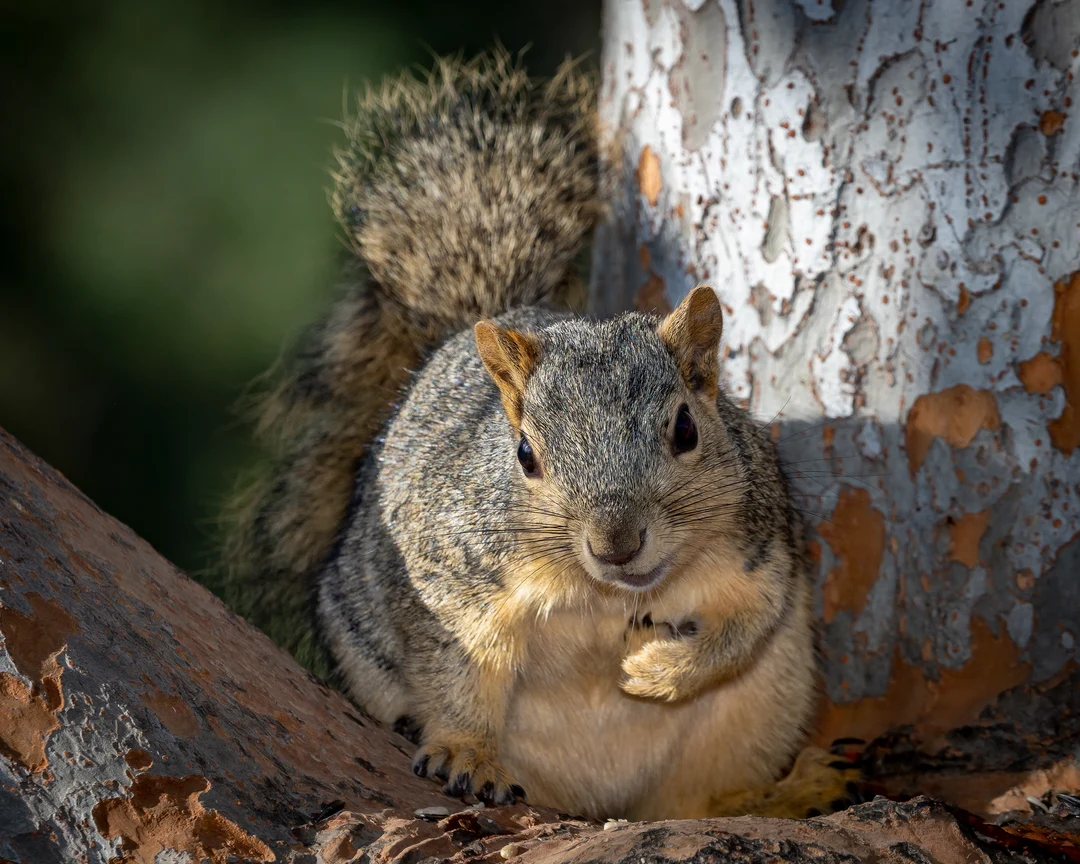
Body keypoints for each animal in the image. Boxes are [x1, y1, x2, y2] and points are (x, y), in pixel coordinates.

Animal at [224, 48, 861, 821]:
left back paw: (785, 792)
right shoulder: (452, 582)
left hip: (762, 707)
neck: (603, 595)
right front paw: (465, 752)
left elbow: (744, 630)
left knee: (703, 797)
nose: (617, 544)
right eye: (525, 453)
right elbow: (455, 673)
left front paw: (657, 669)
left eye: (686, 429)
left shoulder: (760, 547)